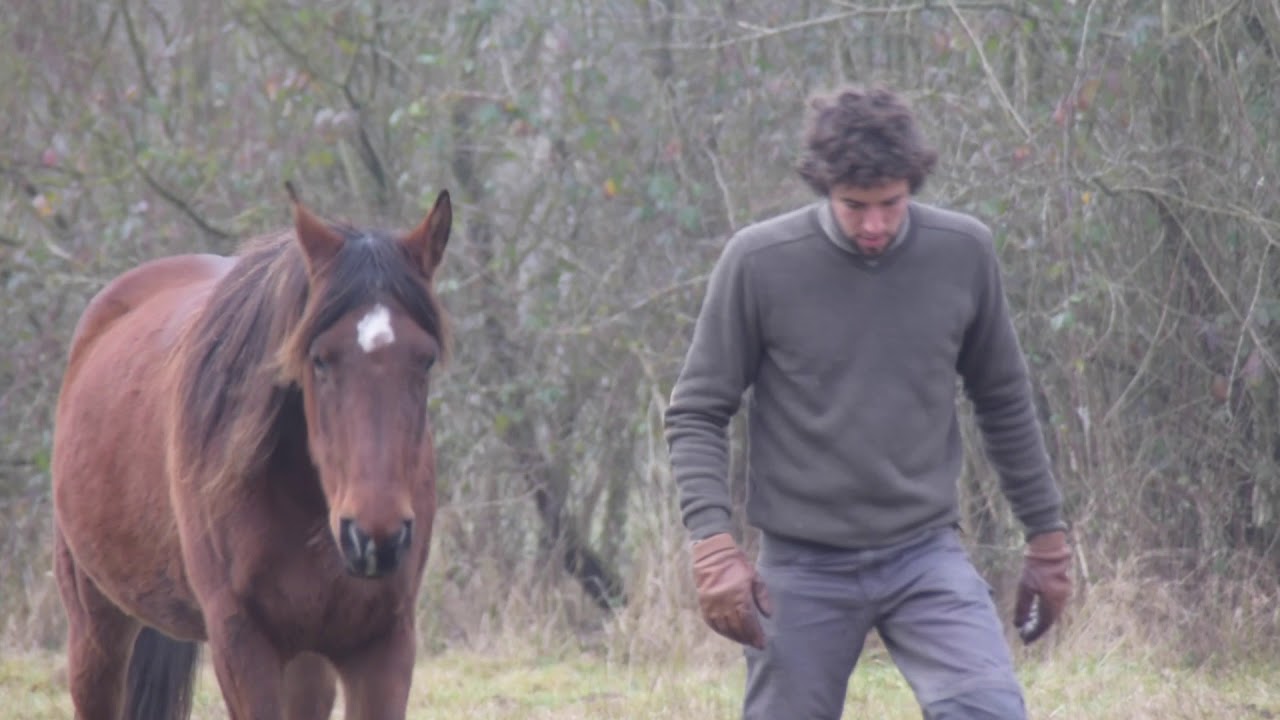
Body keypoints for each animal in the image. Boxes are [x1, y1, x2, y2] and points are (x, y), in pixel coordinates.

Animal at [50, 184, 452, 720]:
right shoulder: (241, 642)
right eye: (319, 358)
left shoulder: (385, 643)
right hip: (97, 627)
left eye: (425, 359)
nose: (375, 537)